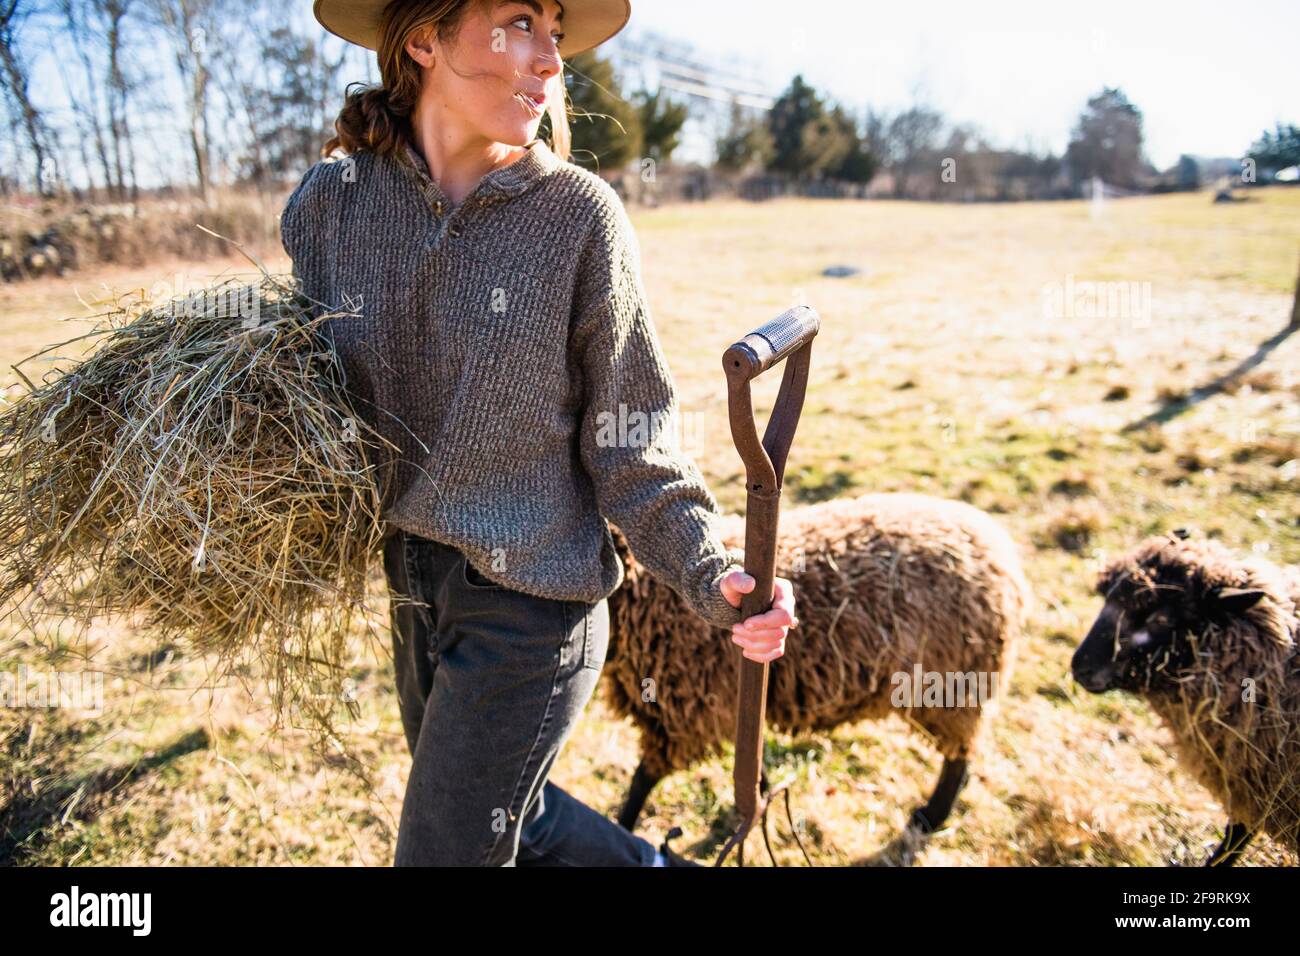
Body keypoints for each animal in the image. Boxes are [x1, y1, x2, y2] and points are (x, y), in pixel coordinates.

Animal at [604, 491, 1031, 844]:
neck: (650, 600)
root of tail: (998, 547)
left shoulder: (686, 719)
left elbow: (642, 780)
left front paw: (622, 827)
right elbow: (749, 760)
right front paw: (759, 800)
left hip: (953, 686)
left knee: (959, 754)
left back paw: (930, 816)